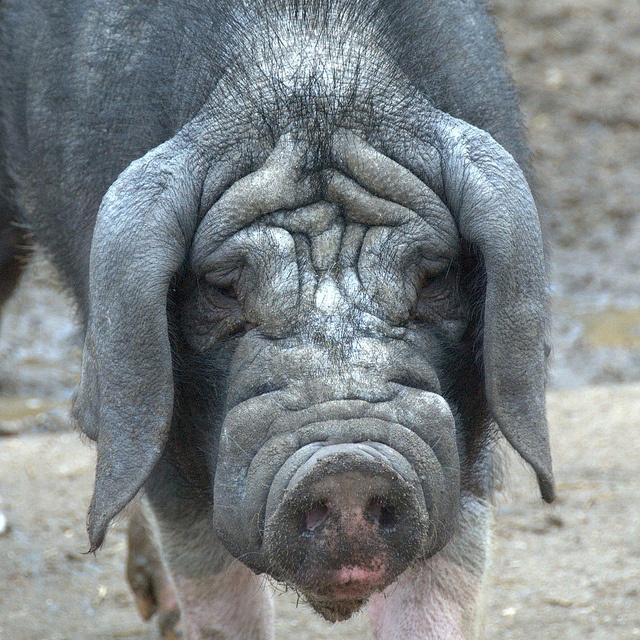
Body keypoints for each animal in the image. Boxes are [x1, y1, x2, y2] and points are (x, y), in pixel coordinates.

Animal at [0, 0, 554, 637]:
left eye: (433, 275)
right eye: (222, 287)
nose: (348, 467)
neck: (308, 63)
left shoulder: (466, 430)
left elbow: (435, 596)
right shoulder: (154, 418)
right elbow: (222, 598)